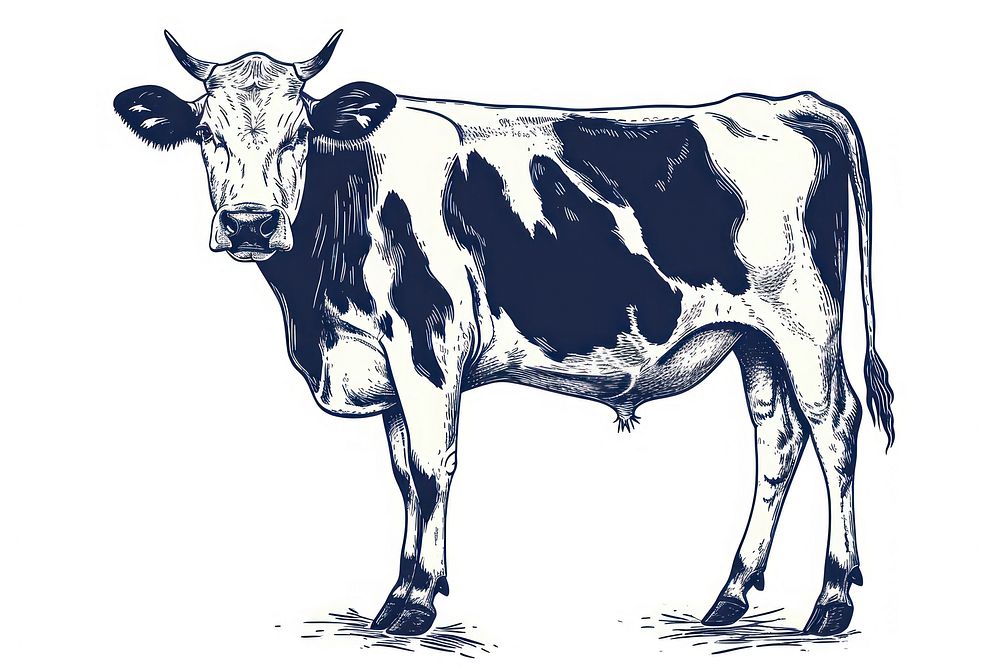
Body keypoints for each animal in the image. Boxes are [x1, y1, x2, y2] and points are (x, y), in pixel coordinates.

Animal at [114, 31, 895, 638]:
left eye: (299, 131)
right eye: (206, 133)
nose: (249, 223)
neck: (316, 308)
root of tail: (786, 104)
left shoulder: (428, 344)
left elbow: (433, 467)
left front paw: (417, 602)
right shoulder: (389, 365)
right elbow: (404, 477)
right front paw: (402, 590)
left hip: (806, 326)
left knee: (834, 429)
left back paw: (832, 601)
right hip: (755, 338)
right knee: (777, 440)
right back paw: (731, 594)